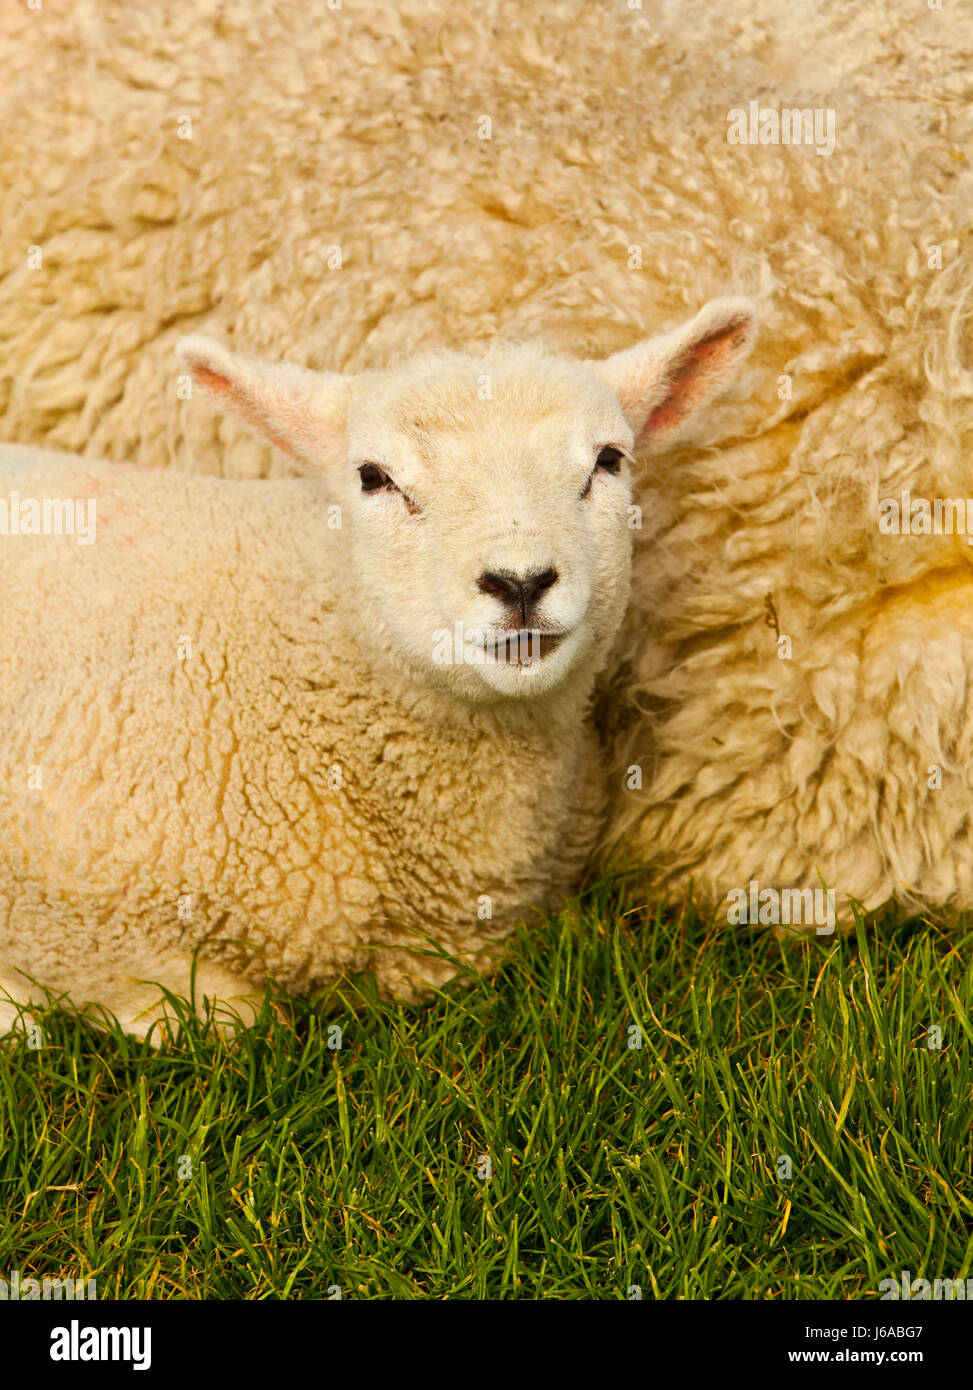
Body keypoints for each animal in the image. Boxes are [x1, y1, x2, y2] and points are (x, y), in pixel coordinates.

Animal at [0, 299, 757, 1037]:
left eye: (608, 460)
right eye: (373, 477)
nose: (519, 582)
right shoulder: (76, 919)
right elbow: (226, 1020)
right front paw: (23, 1008)